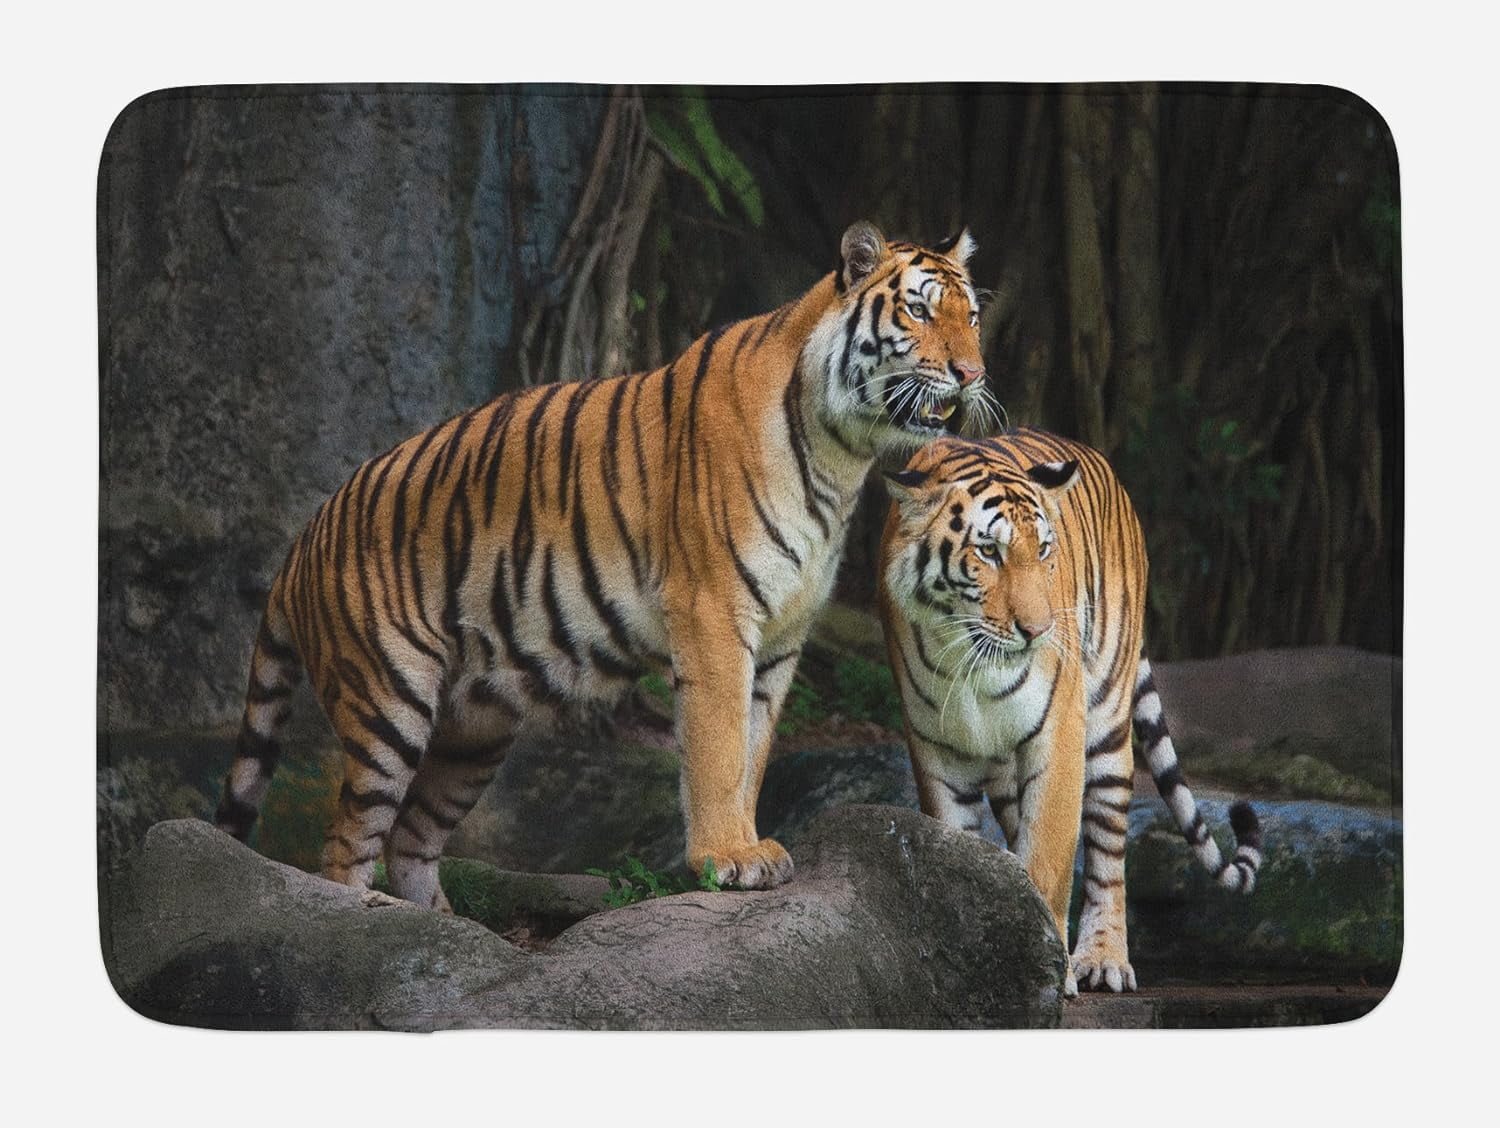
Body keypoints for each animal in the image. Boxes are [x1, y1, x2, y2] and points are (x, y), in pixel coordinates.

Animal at [214, 220, 996, 905]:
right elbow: (718, 747)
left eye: (972, 316)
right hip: (388, 703)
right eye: (919, 310)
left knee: (411, 838)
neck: (843, 455)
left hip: (476, 730)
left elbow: (754, 751)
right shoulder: (714, 614)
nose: (971, 373)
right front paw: (727, 857)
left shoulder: (782, 637)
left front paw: (750, 844)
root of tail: (304, 537)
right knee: (347, 842)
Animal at [877, 428, 1261, 996]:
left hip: (1106, 722)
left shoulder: (1058, 731)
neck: (970, 662)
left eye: (1042, 549)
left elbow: (1048, 858)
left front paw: (1041, 968)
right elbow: (959, 848)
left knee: (1107, 853)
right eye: (987, 551)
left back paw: (1103, 959)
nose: (1037, 631)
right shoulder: (937, 750)